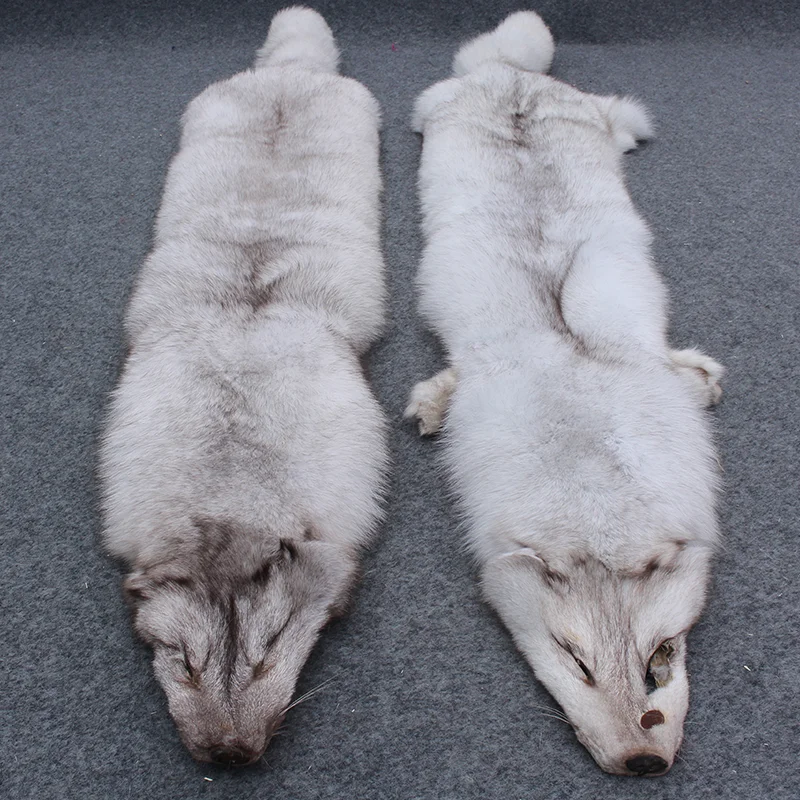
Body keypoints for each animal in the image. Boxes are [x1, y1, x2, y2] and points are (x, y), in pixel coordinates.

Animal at [405, 11, 724, 776]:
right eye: (575, 662)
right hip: (440, 101)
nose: (642, 762)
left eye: (660, 659)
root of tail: (514, 76)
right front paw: (428, 406)